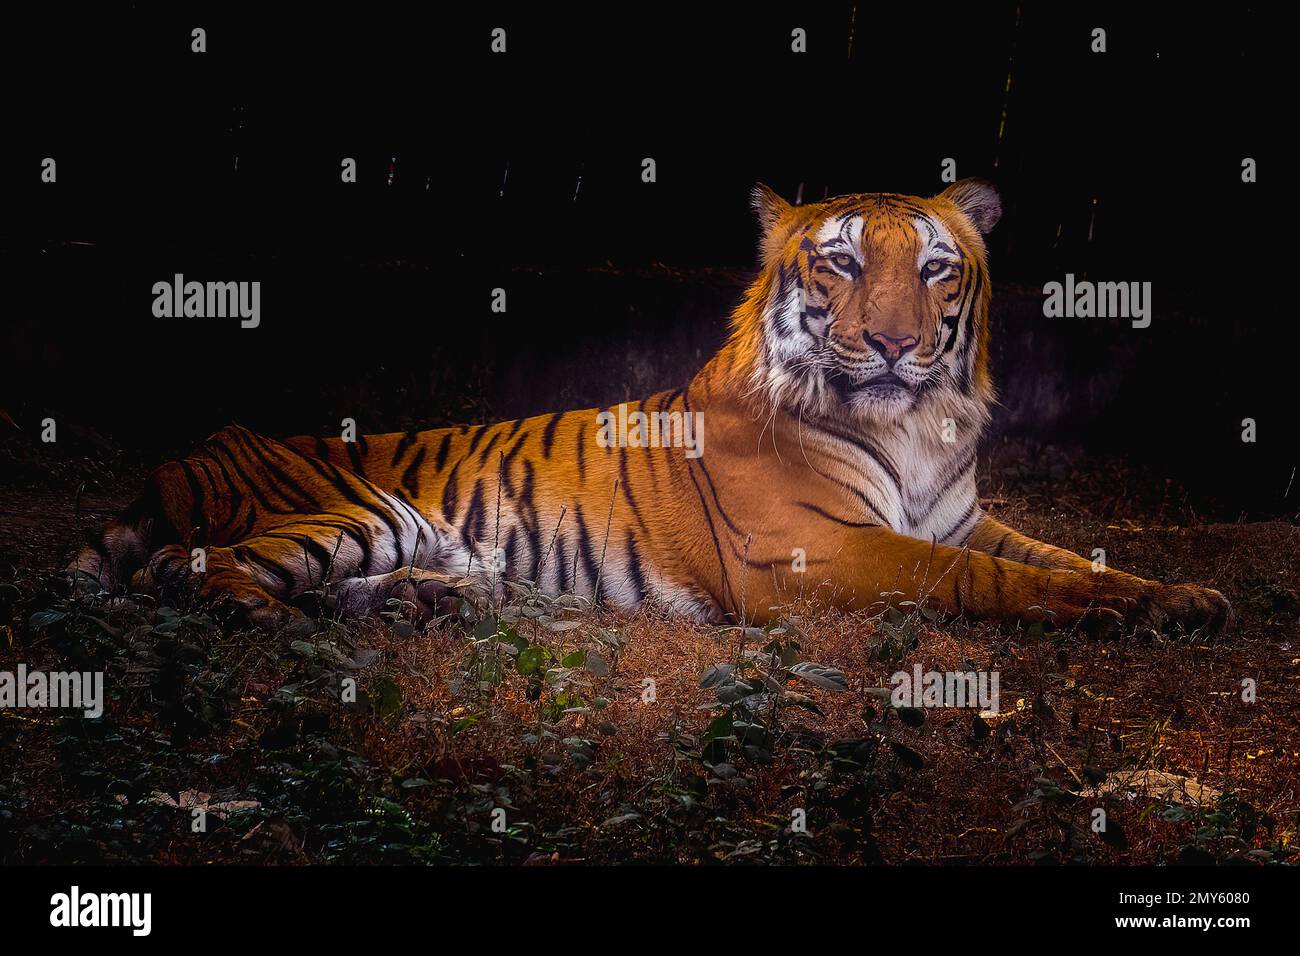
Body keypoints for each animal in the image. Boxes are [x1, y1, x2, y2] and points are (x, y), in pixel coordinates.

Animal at [70, 179, 1230, 637]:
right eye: (844, 261)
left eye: (937, 267)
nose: (899, 343)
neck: (914, 427)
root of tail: (189, 450)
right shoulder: (819, 549)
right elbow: (984, 581)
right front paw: (1123, 612)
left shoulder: (956, 517)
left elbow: (1068, 559)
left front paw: (1179, 597)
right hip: (355, 508)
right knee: (192, 574)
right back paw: (285, 616)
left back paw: (430, 602)